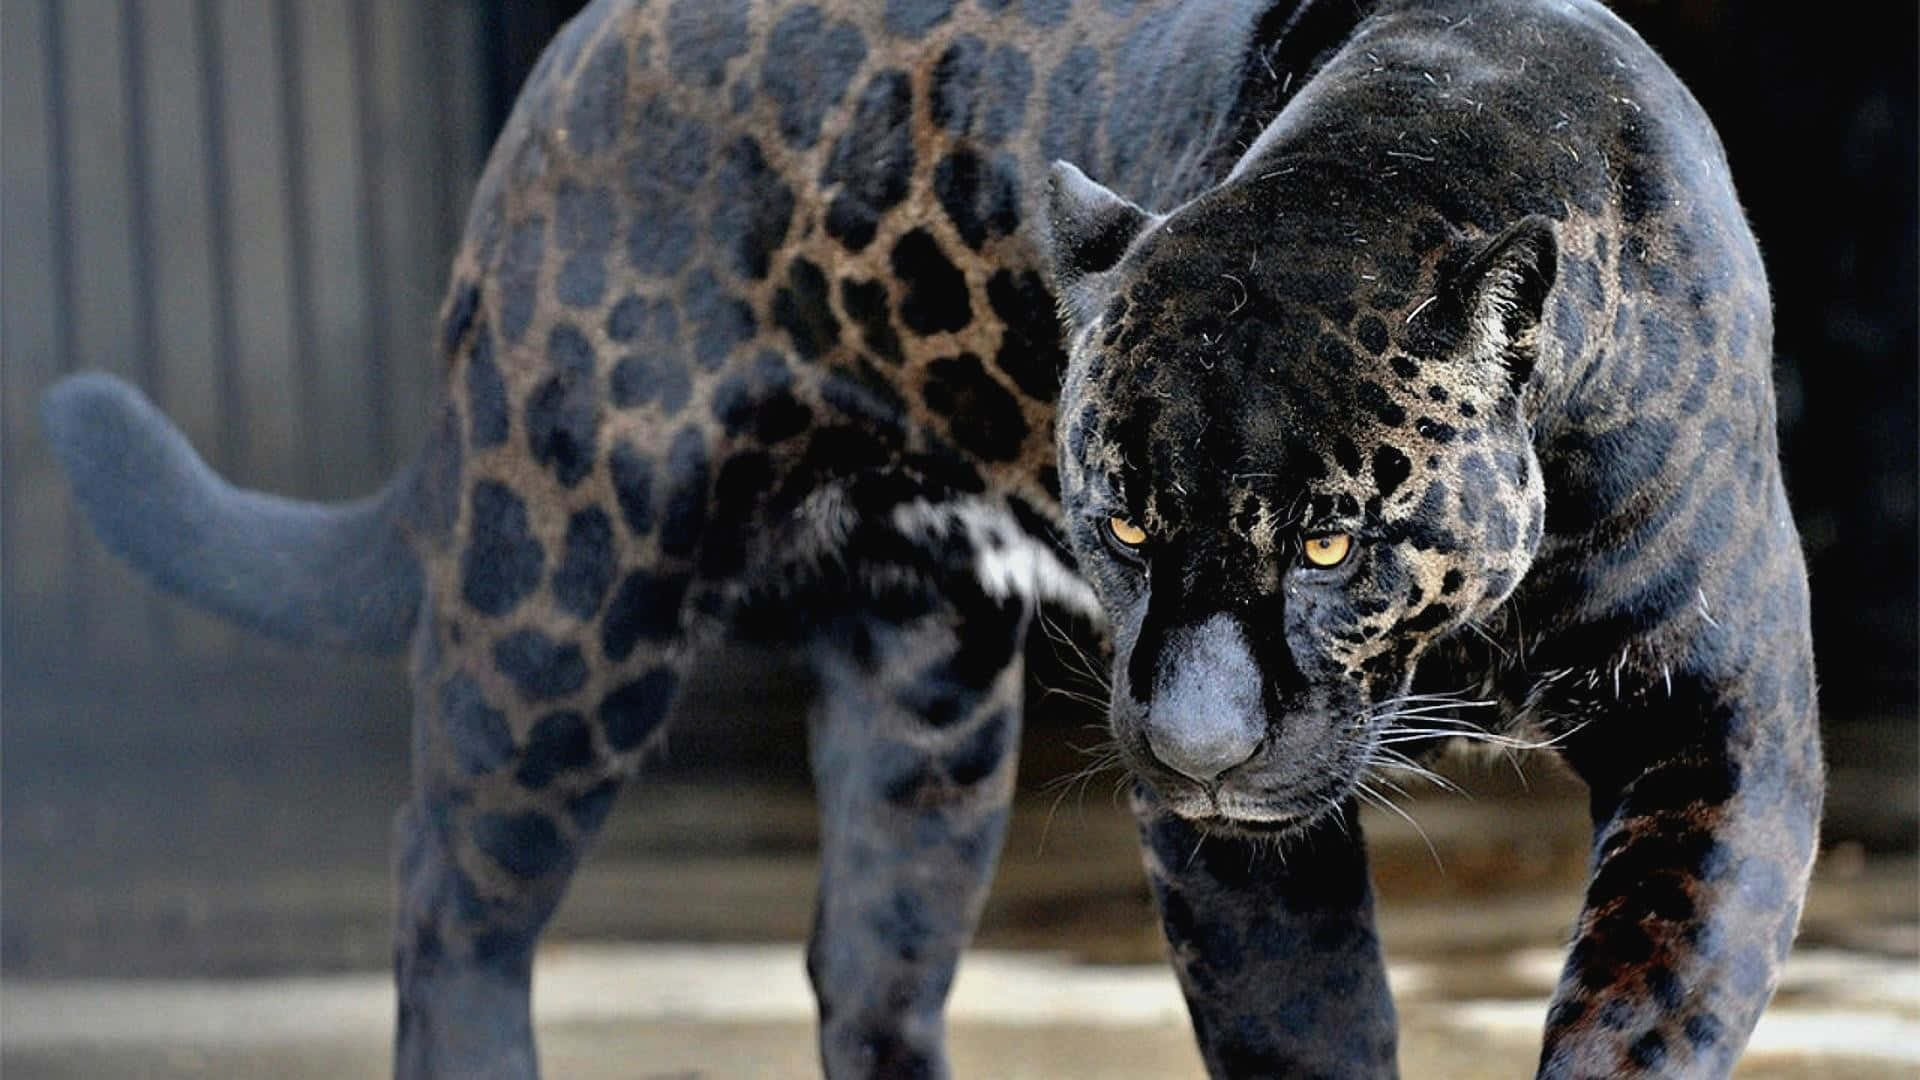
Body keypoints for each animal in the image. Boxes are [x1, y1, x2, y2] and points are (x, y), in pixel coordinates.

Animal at [42, 0, 1823, 1076]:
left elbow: (1640, 1009)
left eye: (1331, 544)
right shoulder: (1230, 838)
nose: (1191, 743)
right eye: (1121, 517)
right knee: (452, 882)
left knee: (868, 957)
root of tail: (562, 68)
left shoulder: (1723, 724)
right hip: (566, 585)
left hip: (926, 707)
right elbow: (1308, 1022)